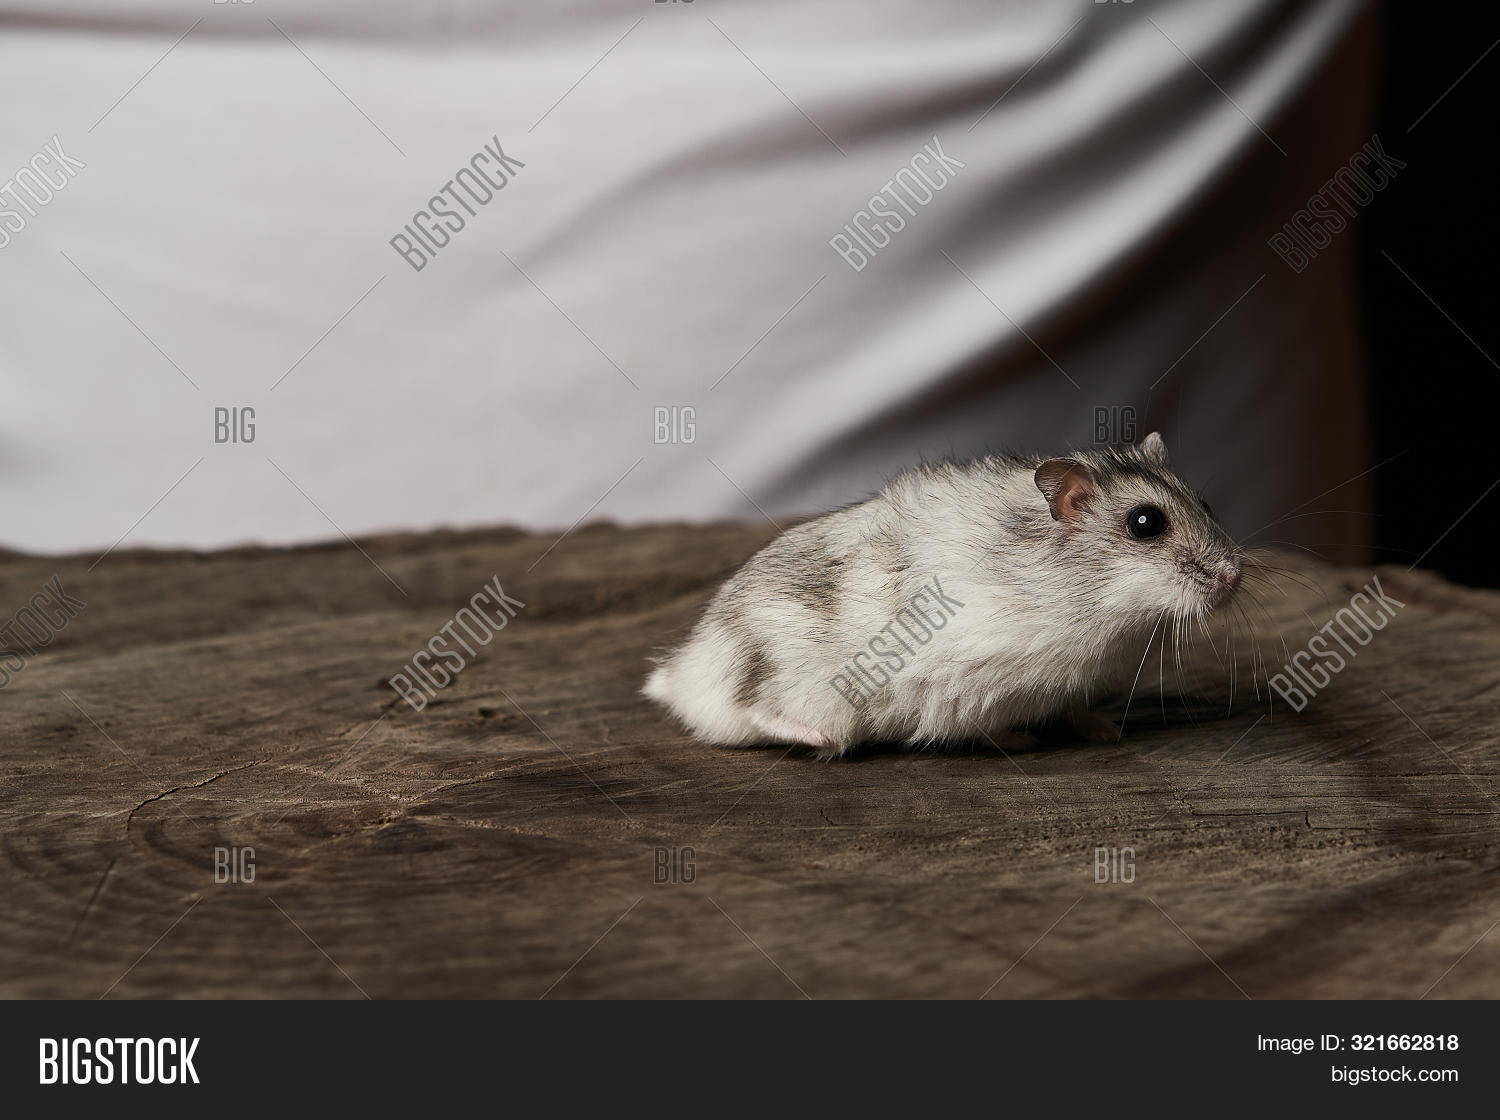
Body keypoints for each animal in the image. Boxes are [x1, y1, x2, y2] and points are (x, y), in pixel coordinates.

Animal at [643, 433, 1245, 758]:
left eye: (1207, 504)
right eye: (1145, 523)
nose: (1233, 577)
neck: (1096, 602)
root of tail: (684, 671)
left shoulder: (1075, 683)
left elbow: (1076, 708)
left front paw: (1106, 731)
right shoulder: (971, 684)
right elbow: (986, 725)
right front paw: (1021, 742)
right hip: (774, 663)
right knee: (752, 706)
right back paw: (823, 737)